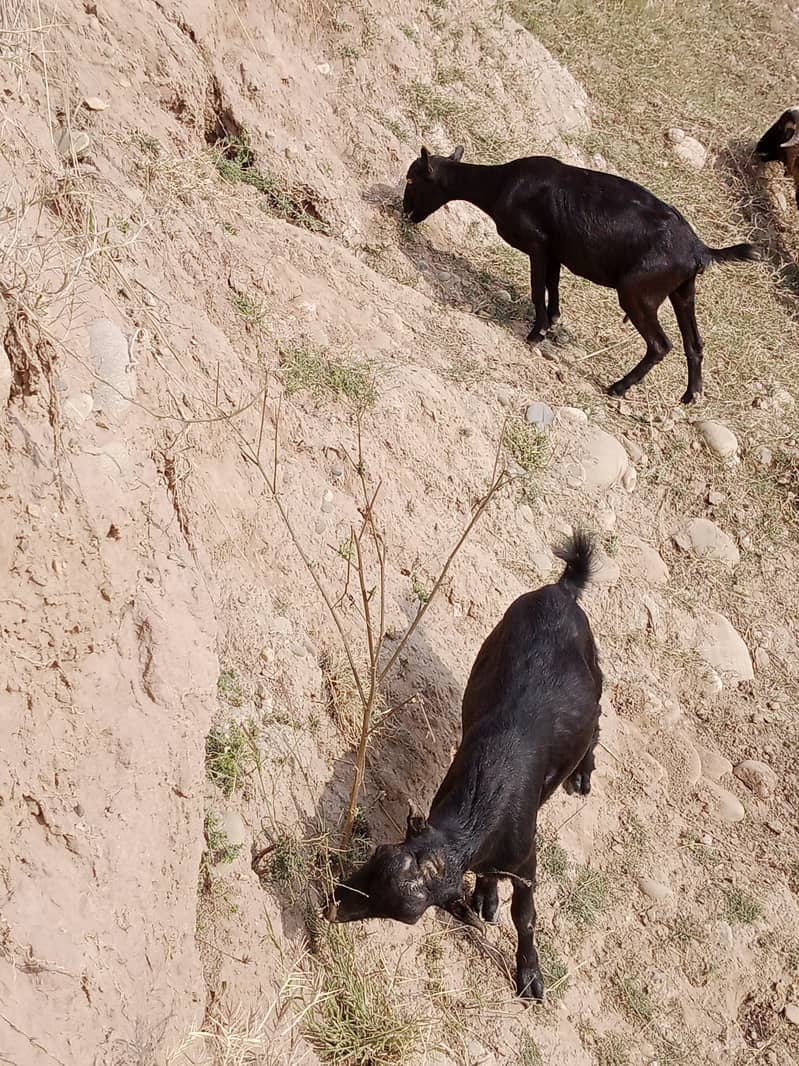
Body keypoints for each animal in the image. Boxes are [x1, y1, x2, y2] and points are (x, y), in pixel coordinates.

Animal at [325, 531, 603, 1001]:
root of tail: (562, 590)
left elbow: (525, 915)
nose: (332, 907)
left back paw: (583, 773)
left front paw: (531, 976)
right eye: (377, 855)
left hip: (597, 677)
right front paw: (485, 898)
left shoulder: (526, 859)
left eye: (407, 914)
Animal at [402, 146, 757, 404]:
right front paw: (553, 321)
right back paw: (691, 395)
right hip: (683, 291)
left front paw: (536, 333)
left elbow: (537, 289)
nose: (403, 212)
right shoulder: (555, 252)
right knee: (693, 343)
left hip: (638, 293)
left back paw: (618, 387)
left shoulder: (537, 244)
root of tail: (699, 250)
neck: (501, 185)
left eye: (411, 181)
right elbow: (553, 286)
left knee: (660, 345)